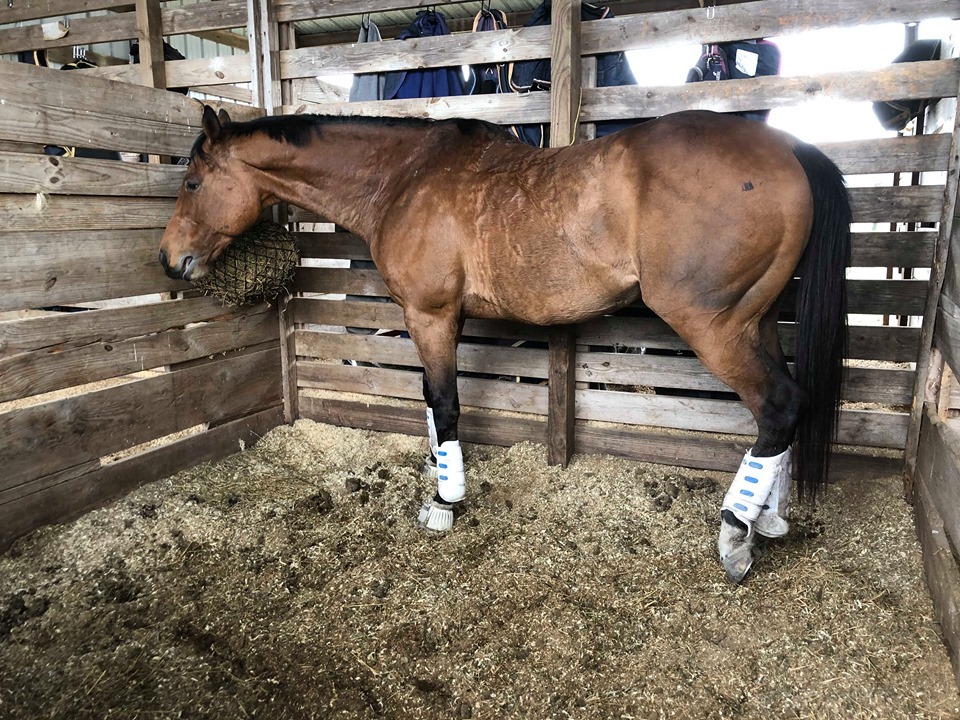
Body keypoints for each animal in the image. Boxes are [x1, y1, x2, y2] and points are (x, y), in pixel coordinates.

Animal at [160, 106, 850, 584]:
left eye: (192, 182)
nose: (169, 260)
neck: (403, 178)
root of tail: (790, 147)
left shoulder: (431, 315)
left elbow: (444, 403)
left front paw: (445, 501)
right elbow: (431, 402)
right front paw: (437, 473)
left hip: (714, 325)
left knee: (778, 405)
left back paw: (735, 534)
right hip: (757, 321)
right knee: (789, 404)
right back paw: (766, 516)